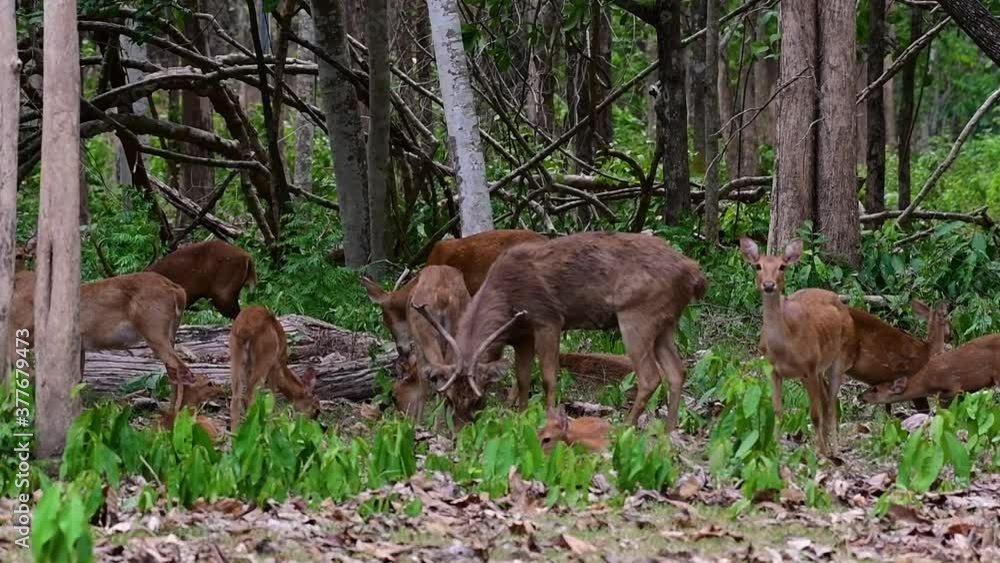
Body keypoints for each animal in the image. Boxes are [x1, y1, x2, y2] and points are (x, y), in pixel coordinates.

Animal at [414, 231, 707, 430]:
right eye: (449, 399)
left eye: (478, 399)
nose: (460, 432)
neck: (505, 299)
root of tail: (695, 273)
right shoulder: (522, 335)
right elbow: (522, 377)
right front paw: (521, 417)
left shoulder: (548, 319)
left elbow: (547, 376)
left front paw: (550, 418)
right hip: (665, 322)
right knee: (677, 371)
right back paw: (669, 431)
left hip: (638, 314)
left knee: (650, 376)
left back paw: (626, 426)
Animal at [741, 238, 855, 456]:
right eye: (758, 266)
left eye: (782, 266)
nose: (769, 285)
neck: (784, 346)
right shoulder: (773, 369)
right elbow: (778, 411)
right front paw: (775, 448)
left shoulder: (809, 367)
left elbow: (815, 415)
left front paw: (822, 453)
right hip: (818, 368)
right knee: (826, 398)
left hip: (839, 356)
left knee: (831, 403)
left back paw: (835, 450)